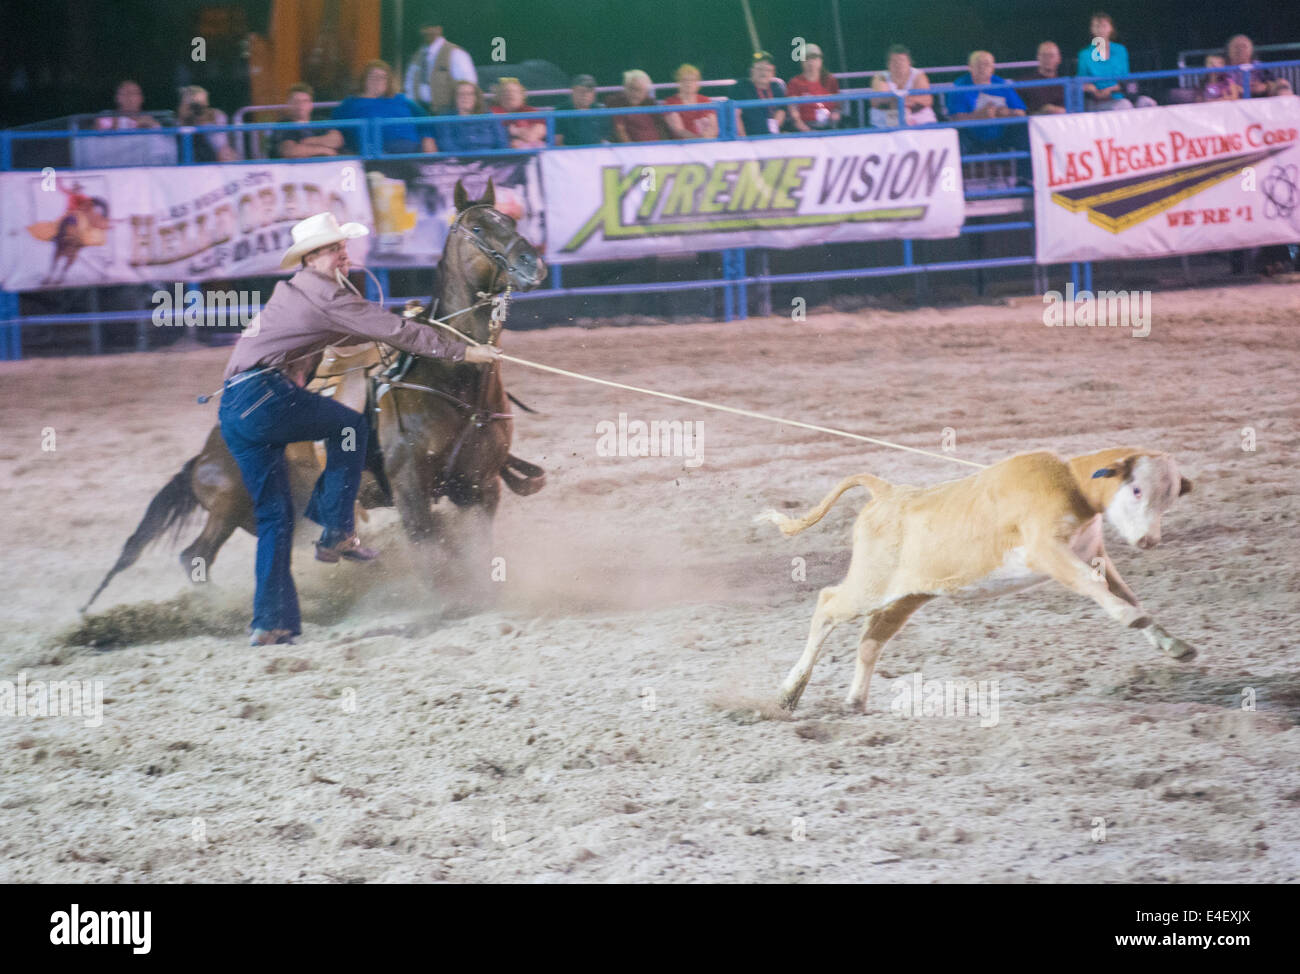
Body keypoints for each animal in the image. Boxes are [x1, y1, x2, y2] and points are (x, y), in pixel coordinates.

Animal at [756, 448, 1194, 713]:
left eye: (1170, 497)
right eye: (1135, 489)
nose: (1149, 540)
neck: (1071, 485)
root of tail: (889, 493)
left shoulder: (1094, 555)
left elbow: (1125, 593)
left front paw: (1175, 645)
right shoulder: (1047, 552)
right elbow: (1094, 587)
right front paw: (1132, 619)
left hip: (908, 595)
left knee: (871, 639)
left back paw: (854, 701)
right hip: (868, 584)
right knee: (827, 605)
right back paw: (789, 693)